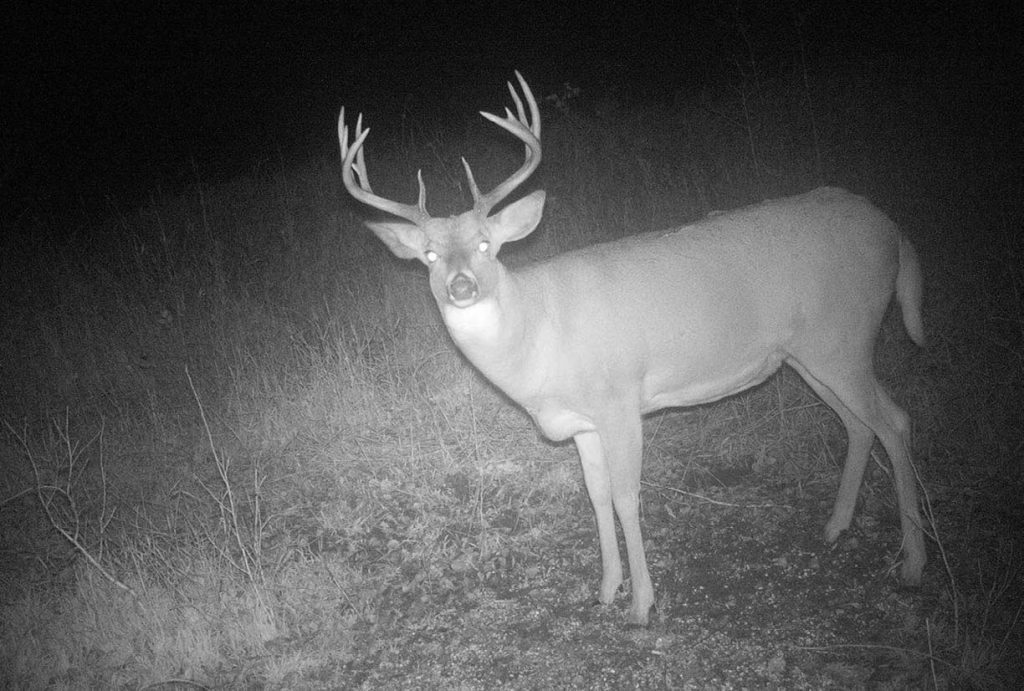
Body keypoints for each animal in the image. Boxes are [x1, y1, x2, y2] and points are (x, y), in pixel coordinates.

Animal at [337, 71, 926, 626]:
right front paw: (605, 588)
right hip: (809, 354)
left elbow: (626, 497)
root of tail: (892, 228)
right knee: (859, 424)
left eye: (486, 245)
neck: (539, 335)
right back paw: (834, 527)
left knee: (894, 420)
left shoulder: (619, 401)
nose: (462, 286)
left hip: (845, 336)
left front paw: (642, 604)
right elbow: (596, 497)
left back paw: (914, 562)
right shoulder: (583, 423)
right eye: (430, 256)